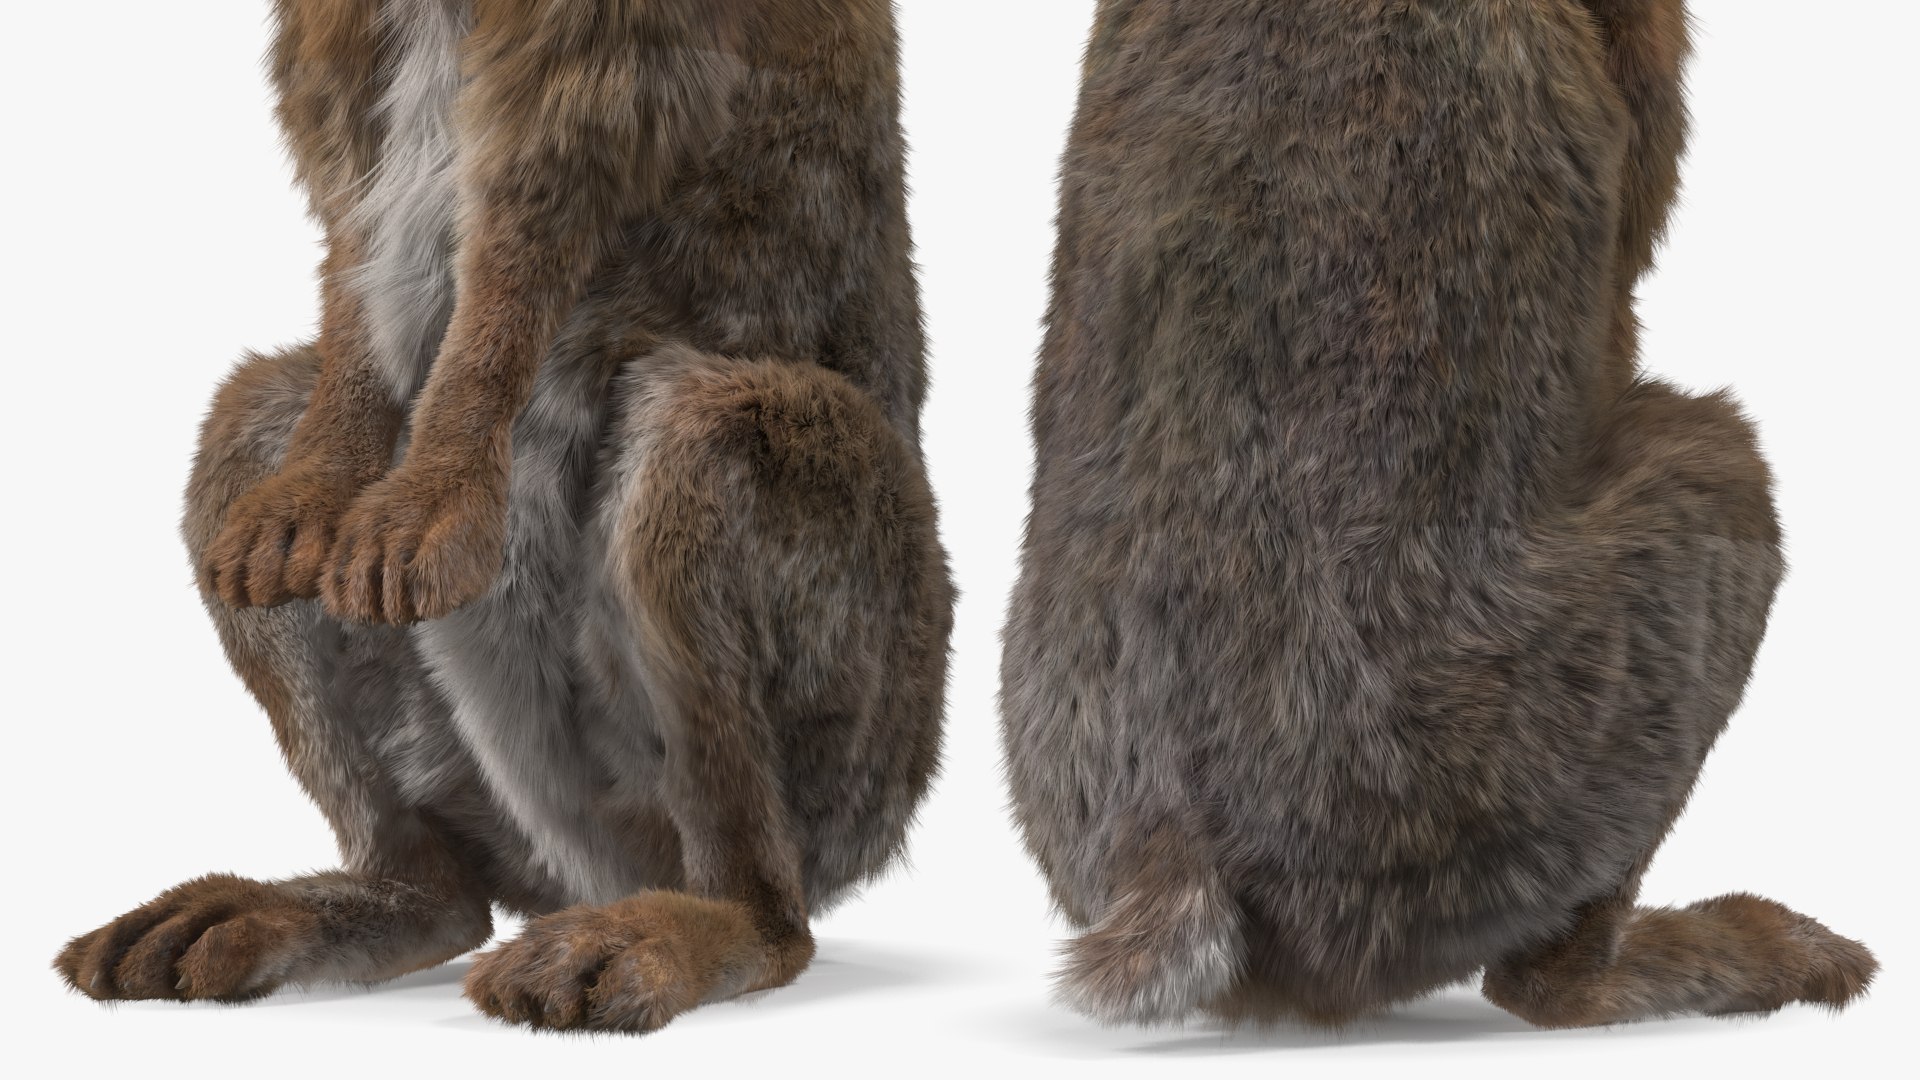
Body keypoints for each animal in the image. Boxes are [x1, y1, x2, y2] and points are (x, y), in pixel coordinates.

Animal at [53, 0, 952, 1034]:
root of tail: (583, 876)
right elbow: (354, 217)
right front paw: (314, 496)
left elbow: (534, 222)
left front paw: (433, 504)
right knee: (250, 428)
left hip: (846, 736)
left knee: (692, 433)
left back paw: (684, 931)